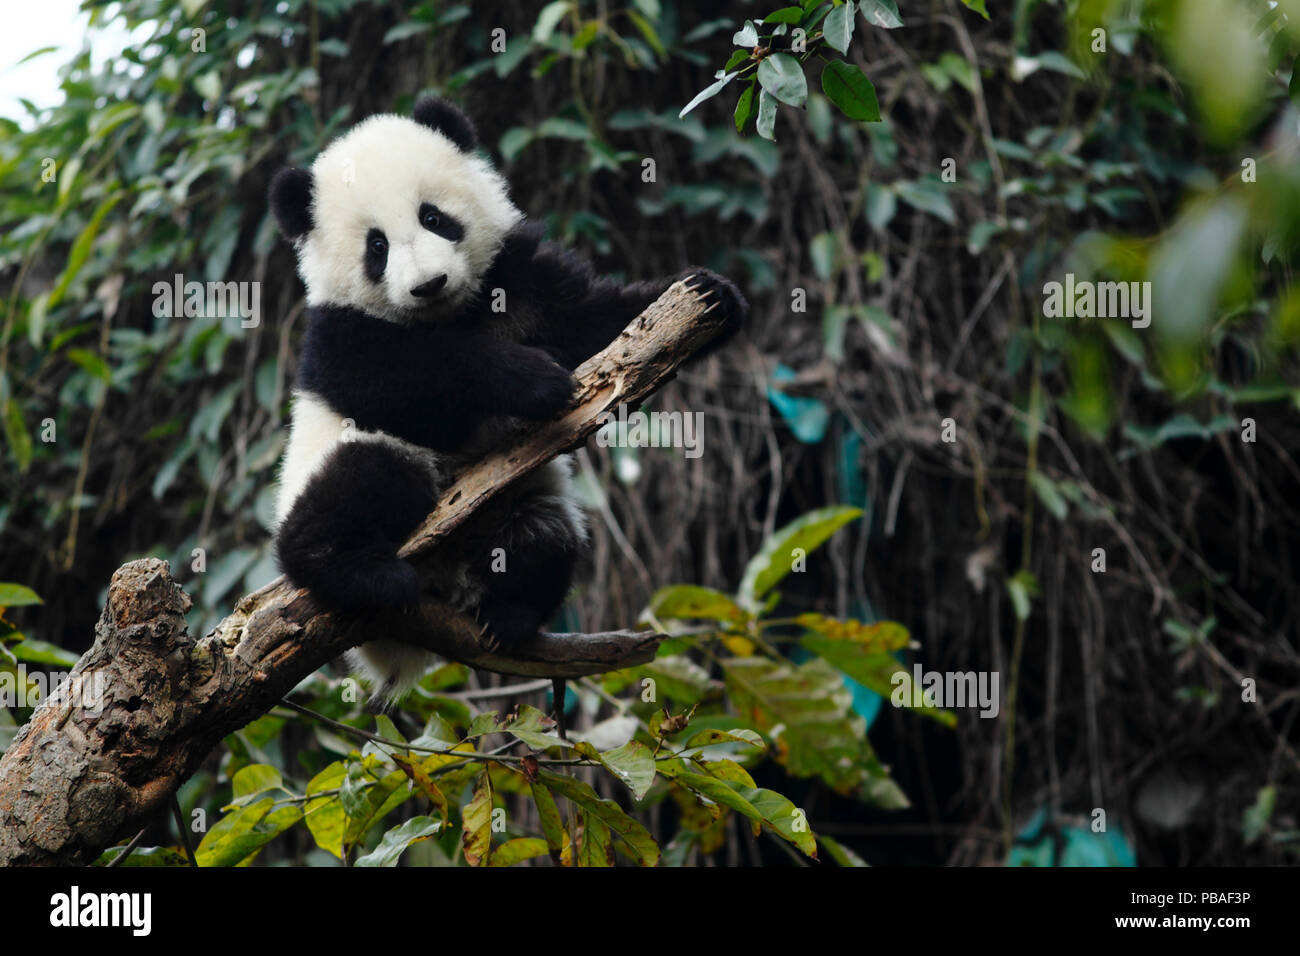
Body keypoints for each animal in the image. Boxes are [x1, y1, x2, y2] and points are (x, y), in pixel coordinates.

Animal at [268, 95, 747, 702]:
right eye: (376, 246)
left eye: (432, 217)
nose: (428, 284)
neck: (453, 313)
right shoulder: (336, 335)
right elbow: (403, 382)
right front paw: (533, 380)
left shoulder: (521, 276)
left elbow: (596, 323)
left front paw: (711, 296)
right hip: (341, 468)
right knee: (367, 478)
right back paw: (360, 571)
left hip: (524, 505)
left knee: (548, 535)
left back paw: (510, 614)